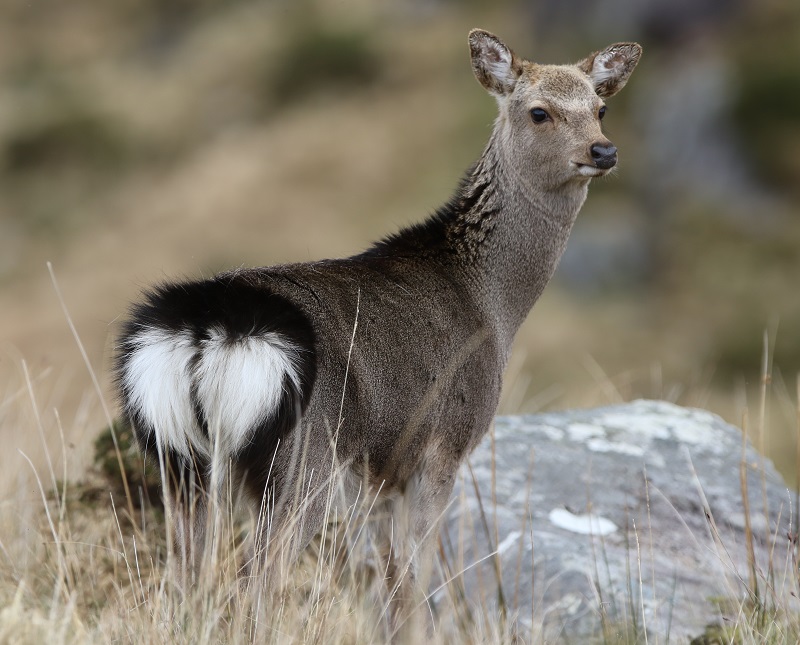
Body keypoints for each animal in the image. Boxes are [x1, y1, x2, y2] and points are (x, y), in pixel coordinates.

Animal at [115, 29, 641, 639]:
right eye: (539, 111)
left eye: (601, 108)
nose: (603, 151)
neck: (492, 304)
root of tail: (204, 331)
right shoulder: (442, 444)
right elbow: (417, 583)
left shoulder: (381, 474)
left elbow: (389, 586)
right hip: (300, 460)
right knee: (254, 581)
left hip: (179, 461)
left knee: (185, 582)